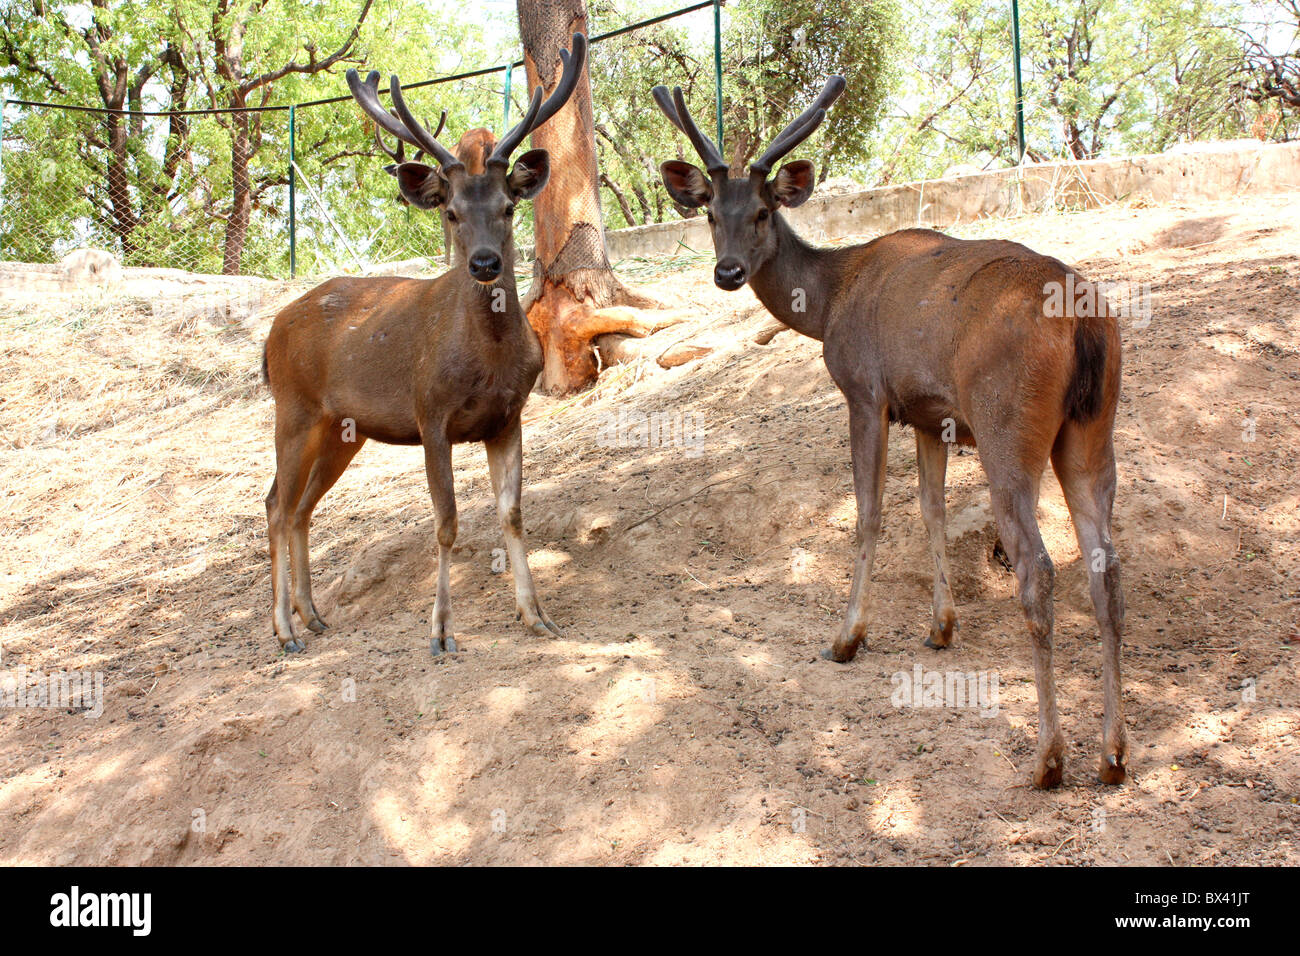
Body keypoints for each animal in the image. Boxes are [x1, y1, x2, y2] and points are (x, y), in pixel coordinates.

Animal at [261, 33, 588, 656]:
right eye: (452, 212)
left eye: (508, 207)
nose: (483, 263)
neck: (490, 362)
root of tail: (270, 334)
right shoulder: (429, 412)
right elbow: (447, 522)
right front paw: (440, 632)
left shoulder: (507, 418)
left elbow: (512, 513)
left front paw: (538, 616)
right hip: (293, 408)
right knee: (274, 505)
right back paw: (285, 630)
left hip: (342, 429)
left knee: (299, 508)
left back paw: (313, 615)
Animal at [651, 77, 1127, 790]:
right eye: (710, 213)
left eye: (762, 212)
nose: (727, 271)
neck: (828, 304)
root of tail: (1086, 322)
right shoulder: (931, 414)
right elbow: (930, 510)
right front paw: (941, 628)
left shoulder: (866, 391)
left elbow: (870, 512)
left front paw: (847, 637)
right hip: (1093, 433)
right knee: (1107, 567)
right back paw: (1113, 753)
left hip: (1008, 430)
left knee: (1039, 568)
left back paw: (1048, 758)